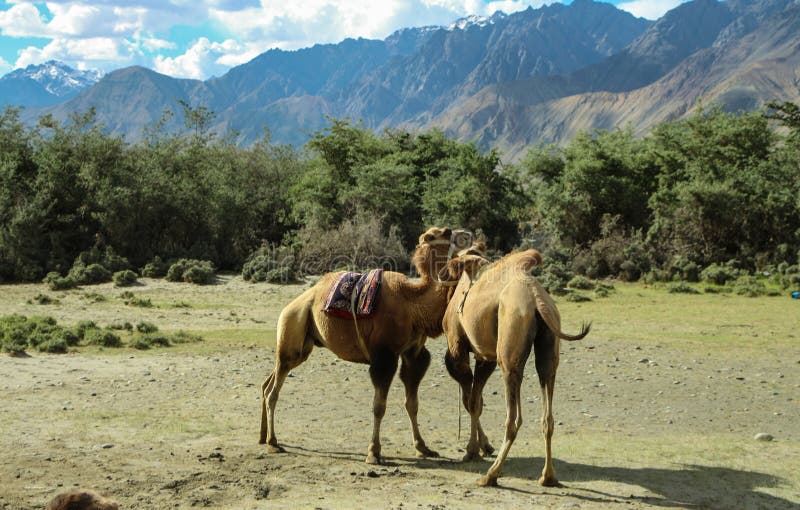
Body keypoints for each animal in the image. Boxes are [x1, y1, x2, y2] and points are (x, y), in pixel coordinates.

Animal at [259, 226, 465, 464]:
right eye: (444, 233)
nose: (465, 237)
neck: (413, 304)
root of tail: (288, 307)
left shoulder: (412, 354)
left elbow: (412, 404)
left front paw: (423, 447)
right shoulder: (384, 356)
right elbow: (379, 406)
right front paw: (374, 452)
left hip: (302, 346)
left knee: (268, 383)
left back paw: (263, 437)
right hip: (292, 328)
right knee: (273, 390)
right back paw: (273, 443)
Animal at [441, 249, 591, 487]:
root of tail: (537, 299)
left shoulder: (459, 348)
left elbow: (471, 401)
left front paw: (472, 451)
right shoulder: (486, 356)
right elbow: (476, 401)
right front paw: (482, 447)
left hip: (508, 354)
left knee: (513, 418)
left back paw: (491, 475)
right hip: (548, 349)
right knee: (547, 413)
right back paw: (548, 477)